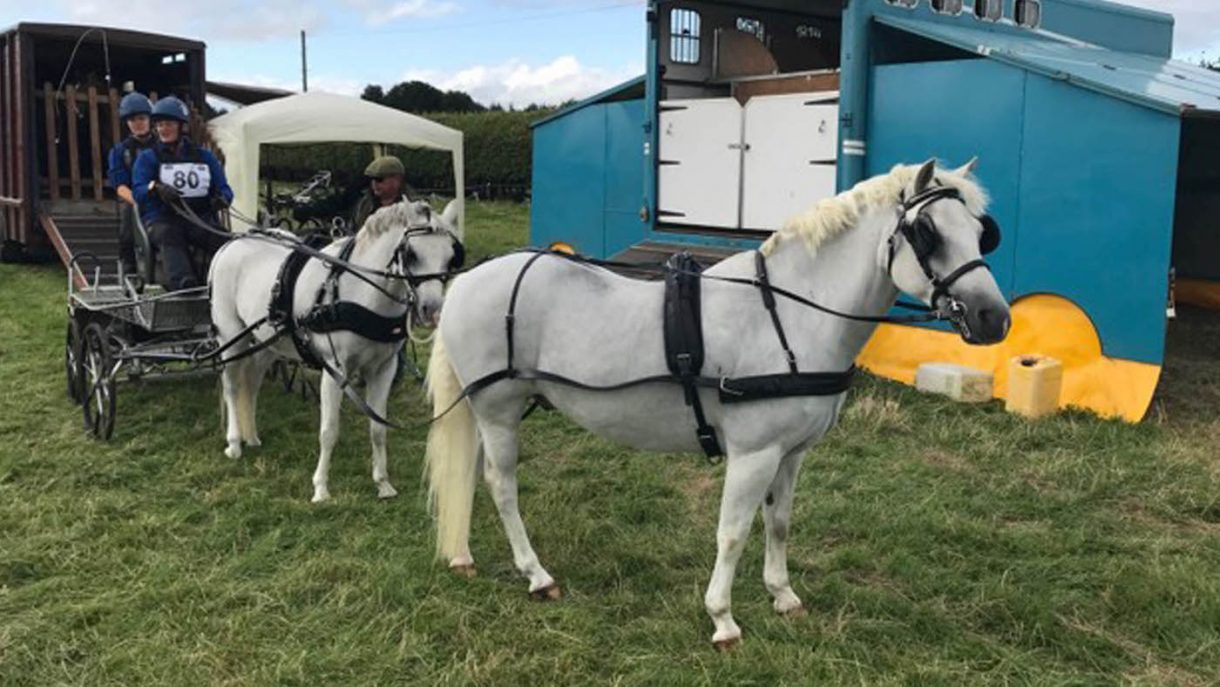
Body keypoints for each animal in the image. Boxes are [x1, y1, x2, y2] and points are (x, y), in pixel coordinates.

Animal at [209, 199, 462, 503]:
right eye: (411, 254)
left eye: (450, 256)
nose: (432, 311)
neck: (360, 294)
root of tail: (232, 243)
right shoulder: (334, 370)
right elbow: (329, 431)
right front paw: (321, 488)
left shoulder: (383, 369)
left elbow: (378, 428)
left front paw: (383, 483)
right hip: (231, 336)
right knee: (232, 386)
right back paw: (234, 442)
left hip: (267, 345)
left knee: (251, 385)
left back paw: (252, 436)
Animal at [422, 159, 1011, 648]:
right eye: (927, 232)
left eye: (980, 231)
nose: (995, 318)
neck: (787, 315)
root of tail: (466, 281)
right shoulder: (754, 454)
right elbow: (733, 533)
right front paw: (723, 619)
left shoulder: (791, 454)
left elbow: (779, 523)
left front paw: (782, 595)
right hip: (498, 411)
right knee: (502, 485)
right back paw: (536, 574)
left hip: (490, 414)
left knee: (473, 474)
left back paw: (464, 555)